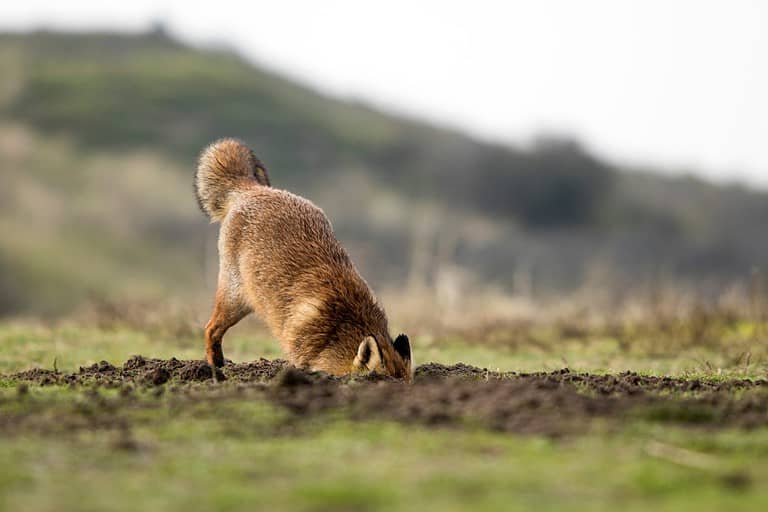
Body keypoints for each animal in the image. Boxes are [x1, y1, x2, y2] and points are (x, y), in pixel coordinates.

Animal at [194, 138, 412, 380]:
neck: (339, 326)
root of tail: (253, 189)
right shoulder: (300, 355)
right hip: (235, 300)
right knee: (210, 328)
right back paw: (215, 367)